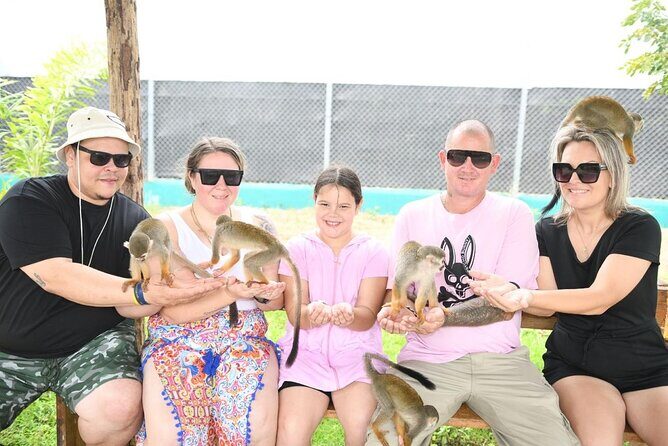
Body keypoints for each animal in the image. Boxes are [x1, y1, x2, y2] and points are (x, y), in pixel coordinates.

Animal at [210, 214, 302, 366]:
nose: (224, 251)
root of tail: (282, 248)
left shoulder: (217, 235)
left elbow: (216, 258)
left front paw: (209, 263)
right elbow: (235, 256)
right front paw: (221, 269)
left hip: (270, 253)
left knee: (250, 262)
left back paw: (263, 282)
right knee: (247, 259)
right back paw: (250, 282)